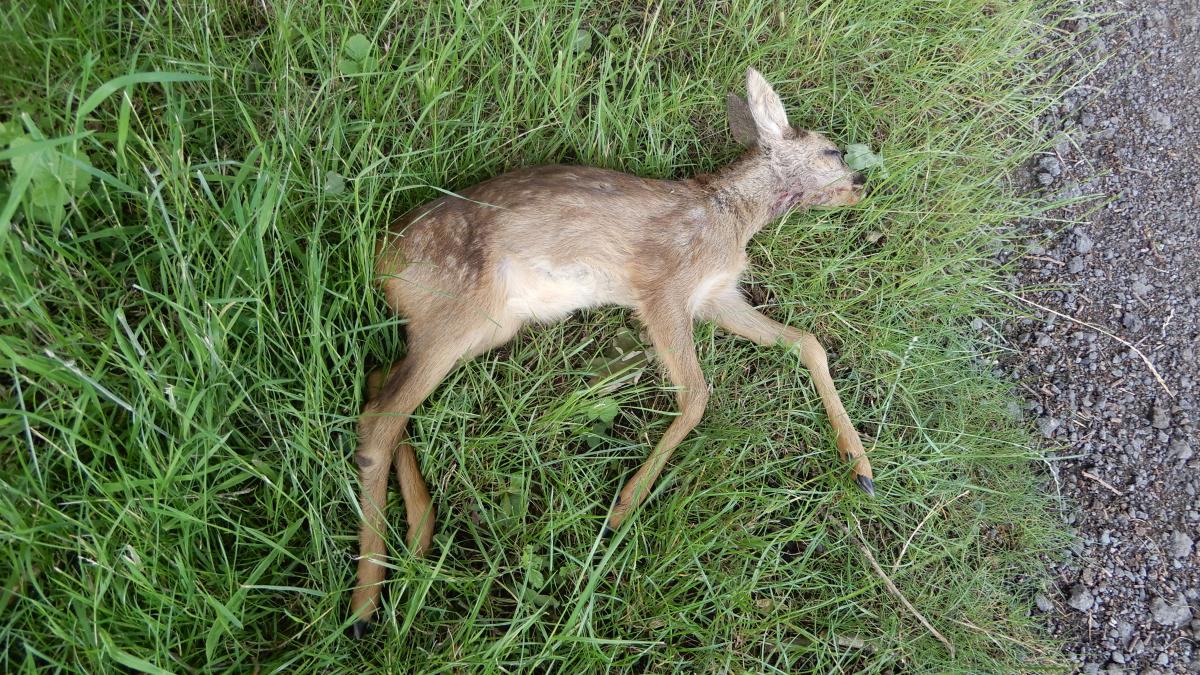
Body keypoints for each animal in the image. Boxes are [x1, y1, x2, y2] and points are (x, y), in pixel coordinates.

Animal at [348, 68, 873, 637]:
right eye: (832, 151)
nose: (861, 185)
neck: (731, 216)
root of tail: (380, 262)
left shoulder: (715, 296)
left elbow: (806, 341)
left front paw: (859, 465)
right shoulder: (664, 287)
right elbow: (697, 394)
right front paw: (624, 507)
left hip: (481, 327)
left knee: (381, 382)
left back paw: (419, 534)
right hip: (460, 310)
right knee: (378, 416)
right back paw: (365, 603)